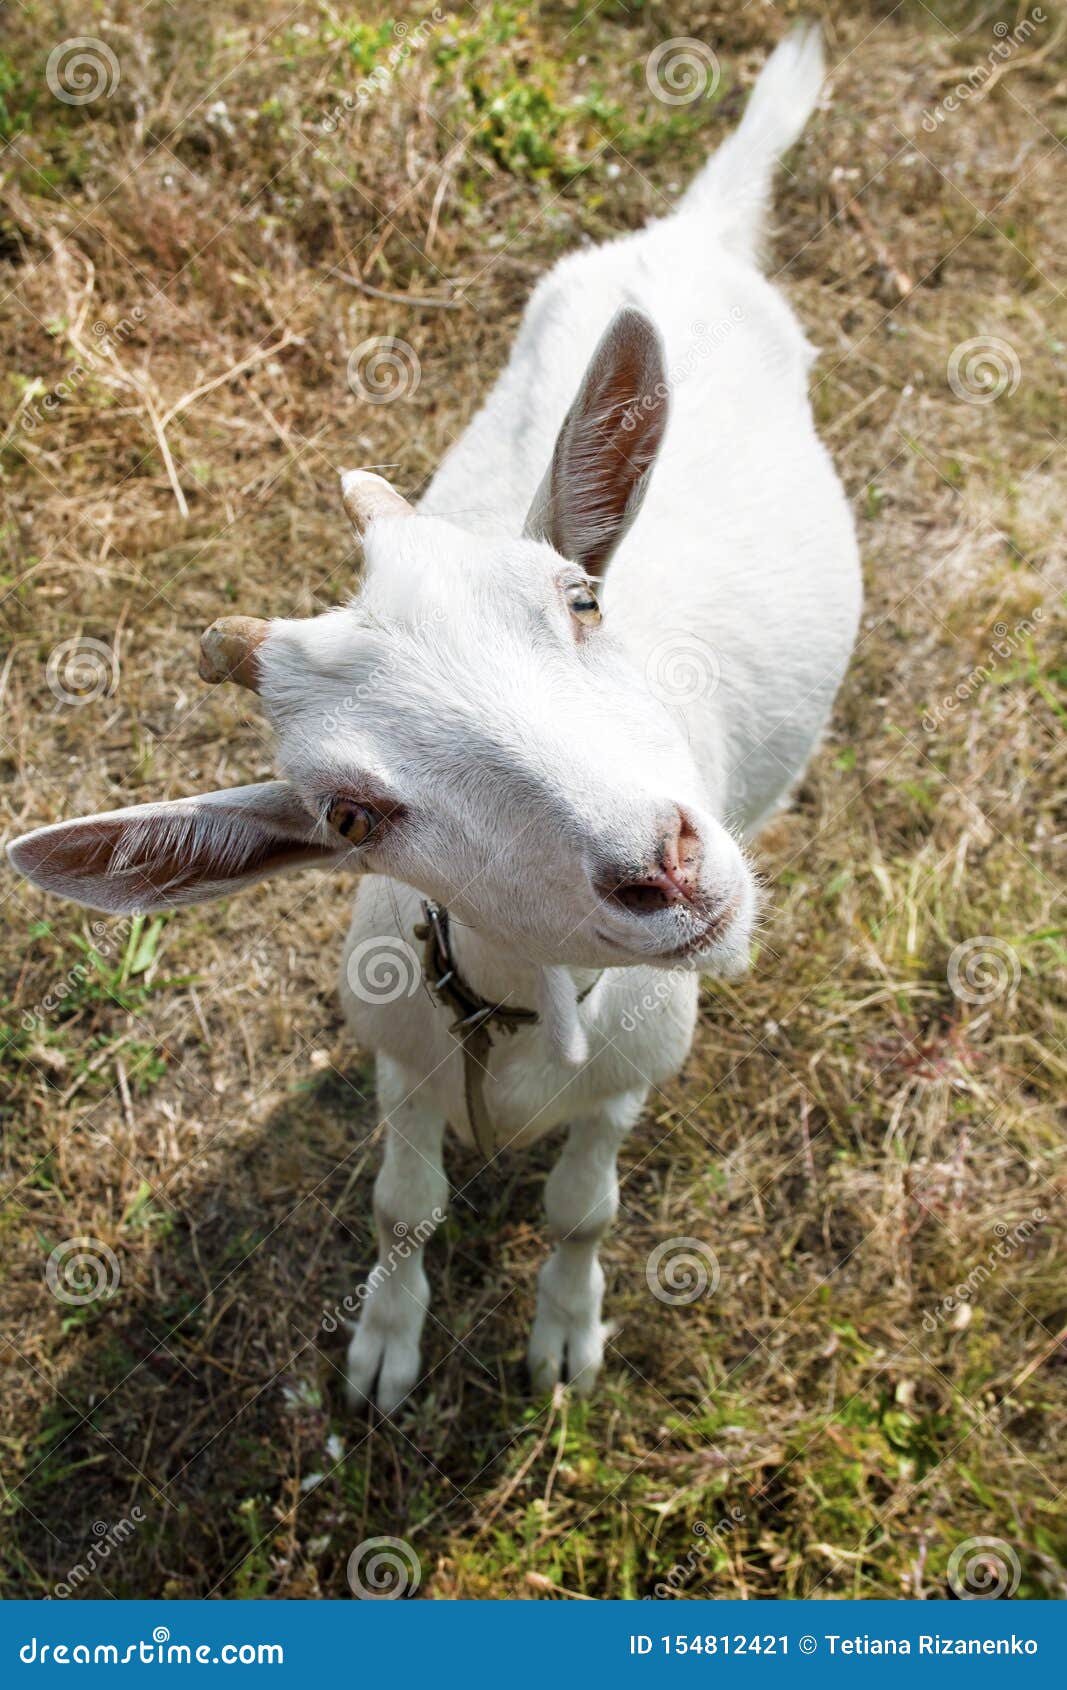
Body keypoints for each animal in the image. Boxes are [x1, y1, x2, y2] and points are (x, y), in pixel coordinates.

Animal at [8, 25, 861, 1412]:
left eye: (579, 598)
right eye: (352, 815)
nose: (664, 866)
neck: (514, 1009)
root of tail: (690, 232)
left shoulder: (627, 1078)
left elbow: (580, 1207)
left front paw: (563, 1337)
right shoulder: (401, 1059)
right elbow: (402, 1206)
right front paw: (382, 1350)